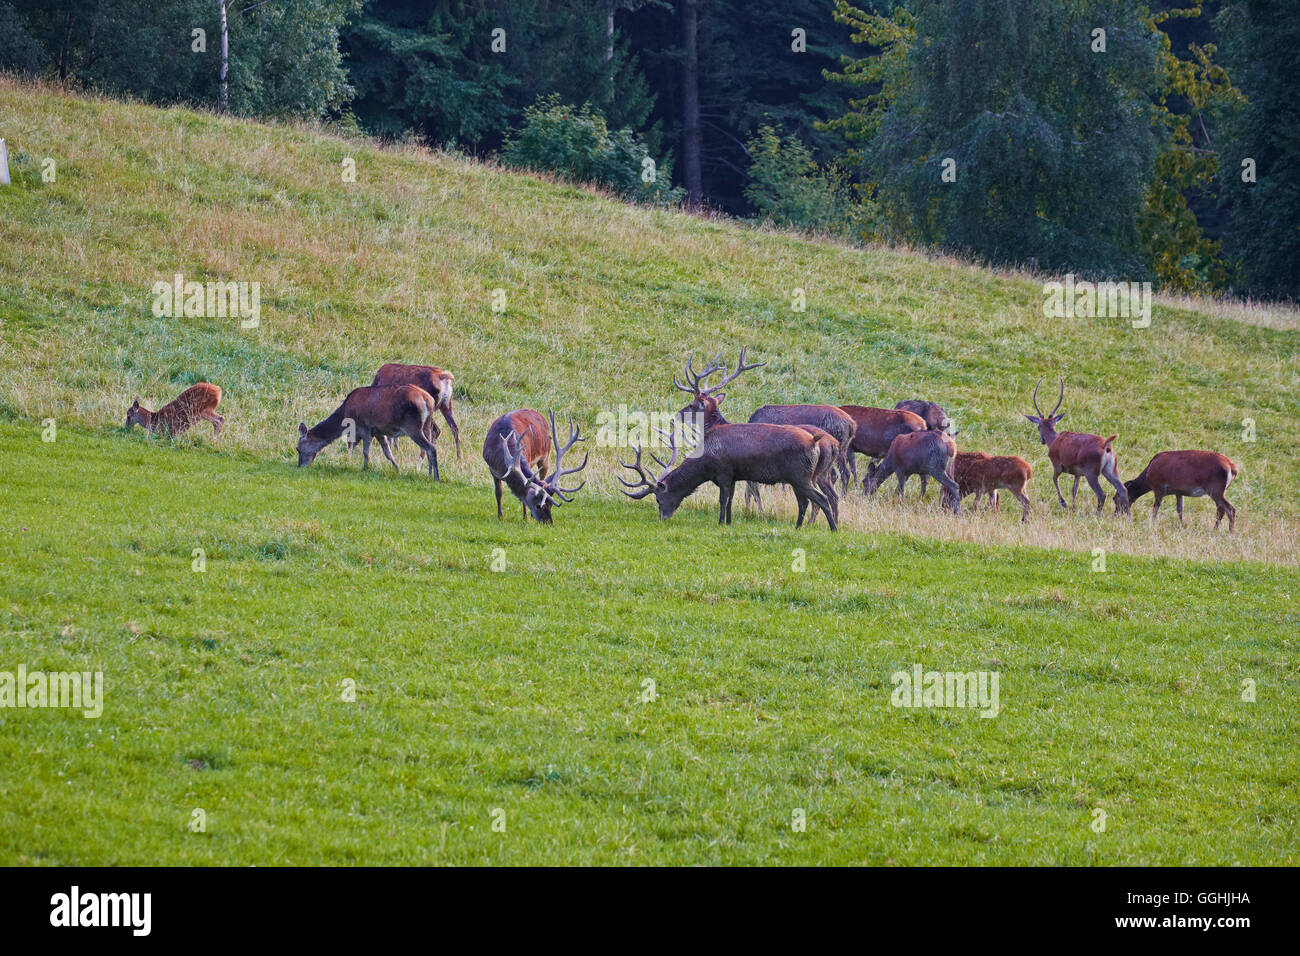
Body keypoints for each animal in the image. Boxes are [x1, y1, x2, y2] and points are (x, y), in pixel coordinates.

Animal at [296, 385, 440, 477]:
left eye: (297, 448)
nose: (299, 466)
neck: (345, 412)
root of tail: (428, 400)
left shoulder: (364, 427)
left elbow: (365, 451)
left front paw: (365, 468)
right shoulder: (378, 431)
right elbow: (387, 453)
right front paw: (398, 469)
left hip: (412, 425)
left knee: (430, 447)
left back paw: (436, 477)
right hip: (427, 425)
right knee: (428, 446)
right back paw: (429, 474)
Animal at [619, 421, 837, 529]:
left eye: (658, 499)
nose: (663, 517)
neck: (705, 464)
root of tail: (815, 442)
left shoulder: (724, 472)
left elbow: (723, 500)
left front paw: (720, 522)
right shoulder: (733, 476)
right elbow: (731, 500)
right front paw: (729, 523)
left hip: (801, 476)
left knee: (821, 498)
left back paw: (833, 528)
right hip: (798, 479)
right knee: (804, 502)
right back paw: (798, 527)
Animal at [1024, 378, 1129, 515]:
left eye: (1038, 427)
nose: (1042, 440)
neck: (1054, 440)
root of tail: (1106, 444)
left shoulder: (1057, 464)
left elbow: (1054, 479)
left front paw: (1064, 503)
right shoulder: (1078, 473)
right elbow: (1074, 489)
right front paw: (1073, 508)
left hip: (1092, 472)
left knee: (1101, 494)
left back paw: (1097, 514)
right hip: (1110, 469)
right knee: (1123, 489)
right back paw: (1128, 516)